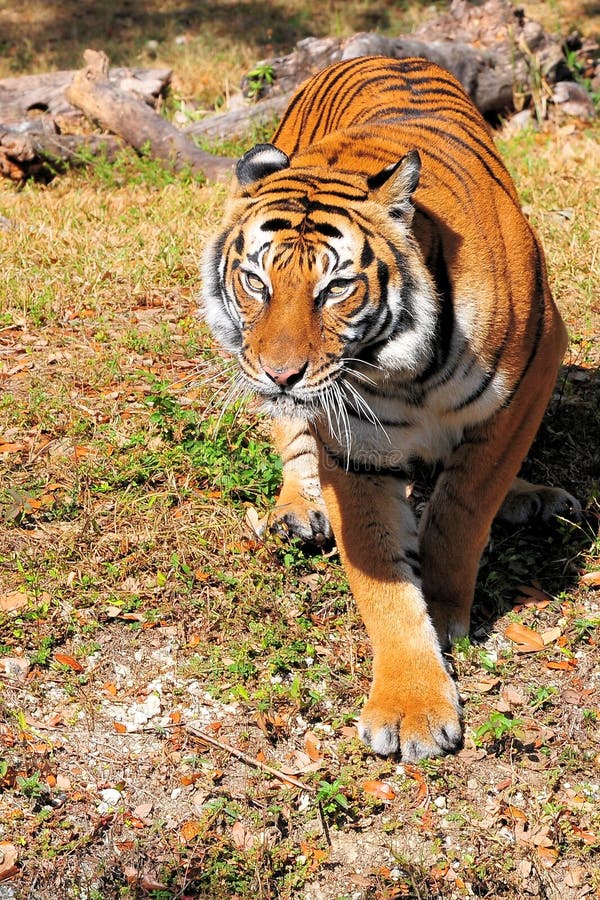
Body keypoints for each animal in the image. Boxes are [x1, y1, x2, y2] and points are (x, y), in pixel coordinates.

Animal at [201, 56, 580, 761]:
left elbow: (462, 509)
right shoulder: (355, 447)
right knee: (294, 441)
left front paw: (447, 609)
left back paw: (529, 495)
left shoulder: (534, 368)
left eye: (336, 288)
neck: (400, 368)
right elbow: (380, 575)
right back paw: (299, 510)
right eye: (256, 282)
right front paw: (412, 704)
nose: (279, 373)